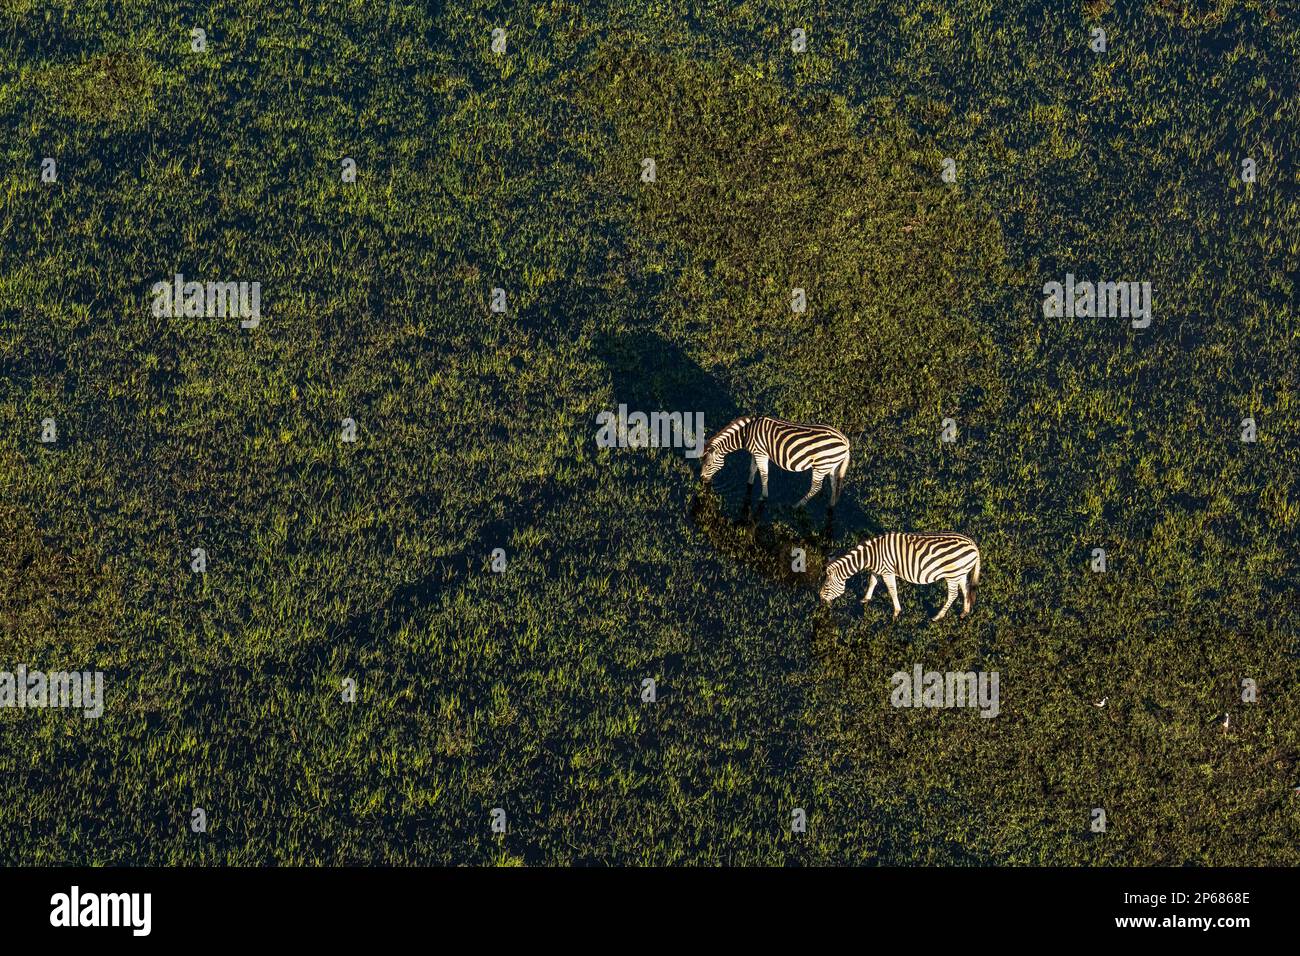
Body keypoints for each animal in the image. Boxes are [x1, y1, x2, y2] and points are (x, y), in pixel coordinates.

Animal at [700, 416, 851, 508]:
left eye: (708, 465)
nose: (702, 480)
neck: (746, 434)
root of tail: (845, 441)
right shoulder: (756, 452)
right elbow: (752, 469)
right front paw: (749, 485)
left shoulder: (761, 453)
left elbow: (764, 474)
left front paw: (763, 496)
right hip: (831, 465)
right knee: (833, 483)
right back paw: (831, 504)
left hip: (820, 465)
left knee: (816, 487)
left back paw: (797, 506)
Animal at [820, 532, 981, 620]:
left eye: (826, 585)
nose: (820, 599)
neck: (870, 556)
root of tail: (973, 545)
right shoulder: (878, 569)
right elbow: (872, 582)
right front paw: (866, 599)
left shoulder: (887, 571)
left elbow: (892, 591)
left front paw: (896, 612)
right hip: (961, 573)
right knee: (966, 589)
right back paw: (964, 612)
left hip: (952, 575)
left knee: (953, 594)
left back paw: (938, 616)